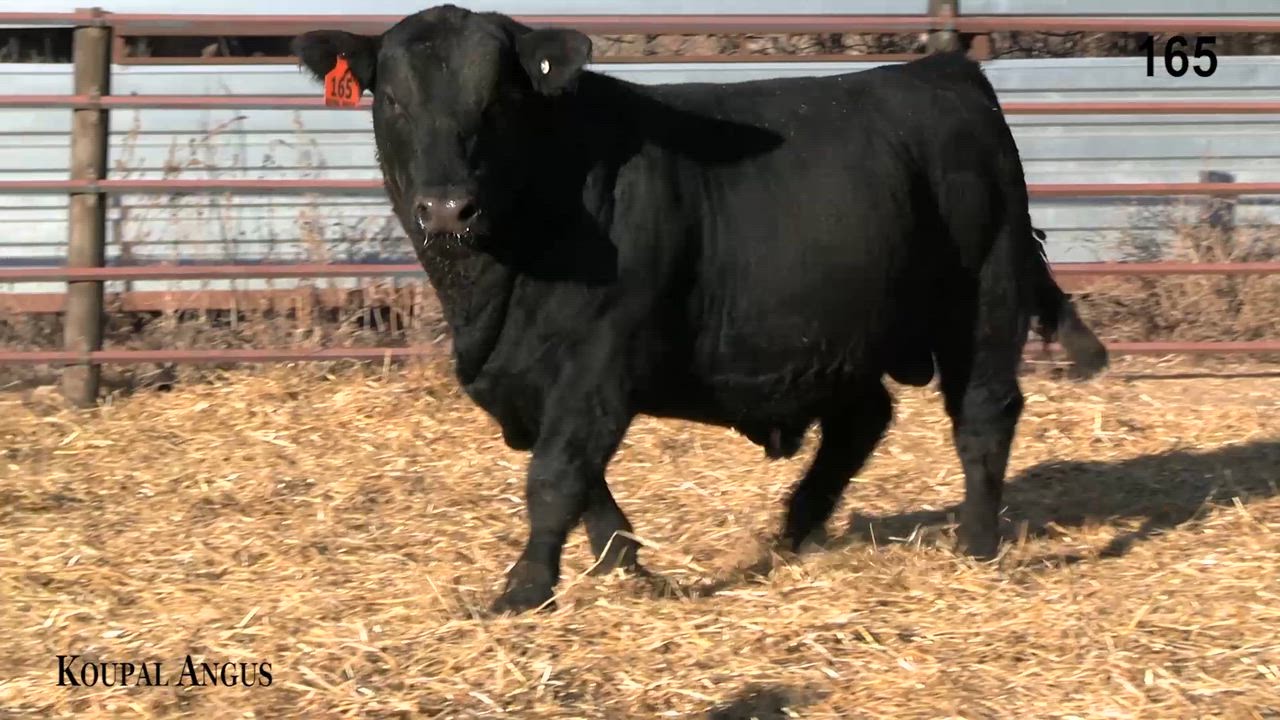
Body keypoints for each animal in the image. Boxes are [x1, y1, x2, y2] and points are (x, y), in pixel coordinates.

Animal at [293, 4, 1109, 614]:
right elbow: (582, 479)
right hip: (842, 330)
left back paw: (975, 546)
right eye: (392, 98)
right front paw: (625, 565)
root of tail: (946, 72)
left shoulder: (599, 360)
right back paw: (791, 531)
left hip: (983, 297)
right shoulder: (523, 380)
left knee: (983, 417)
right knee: (861, 421)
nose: (446, 207)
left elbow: (557, 475)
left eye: (497, 99)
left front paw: (525, 590)